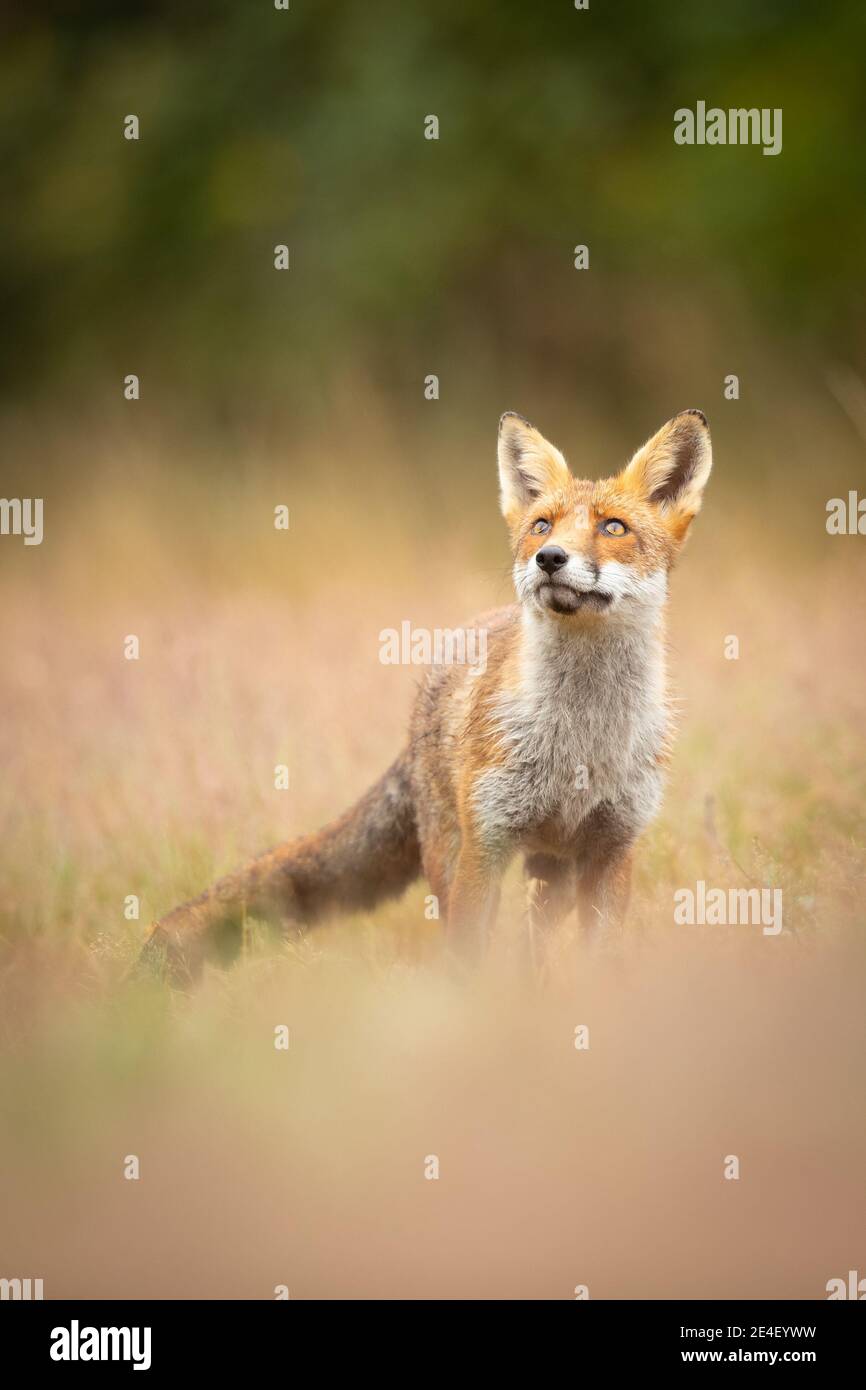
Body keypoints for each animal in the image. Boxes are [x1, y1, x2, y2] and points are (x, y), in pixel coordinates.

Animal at [142, 408, 712, 981]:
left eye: (613, 527)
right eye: (541, 526)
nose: (550, 558)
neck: (583, 740)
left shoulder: (613, 847)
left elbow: (604, 960)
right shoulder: (487, 842)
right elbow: (470, 959)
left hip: (554, 874)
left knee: (538, 941)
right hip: (454, 853)